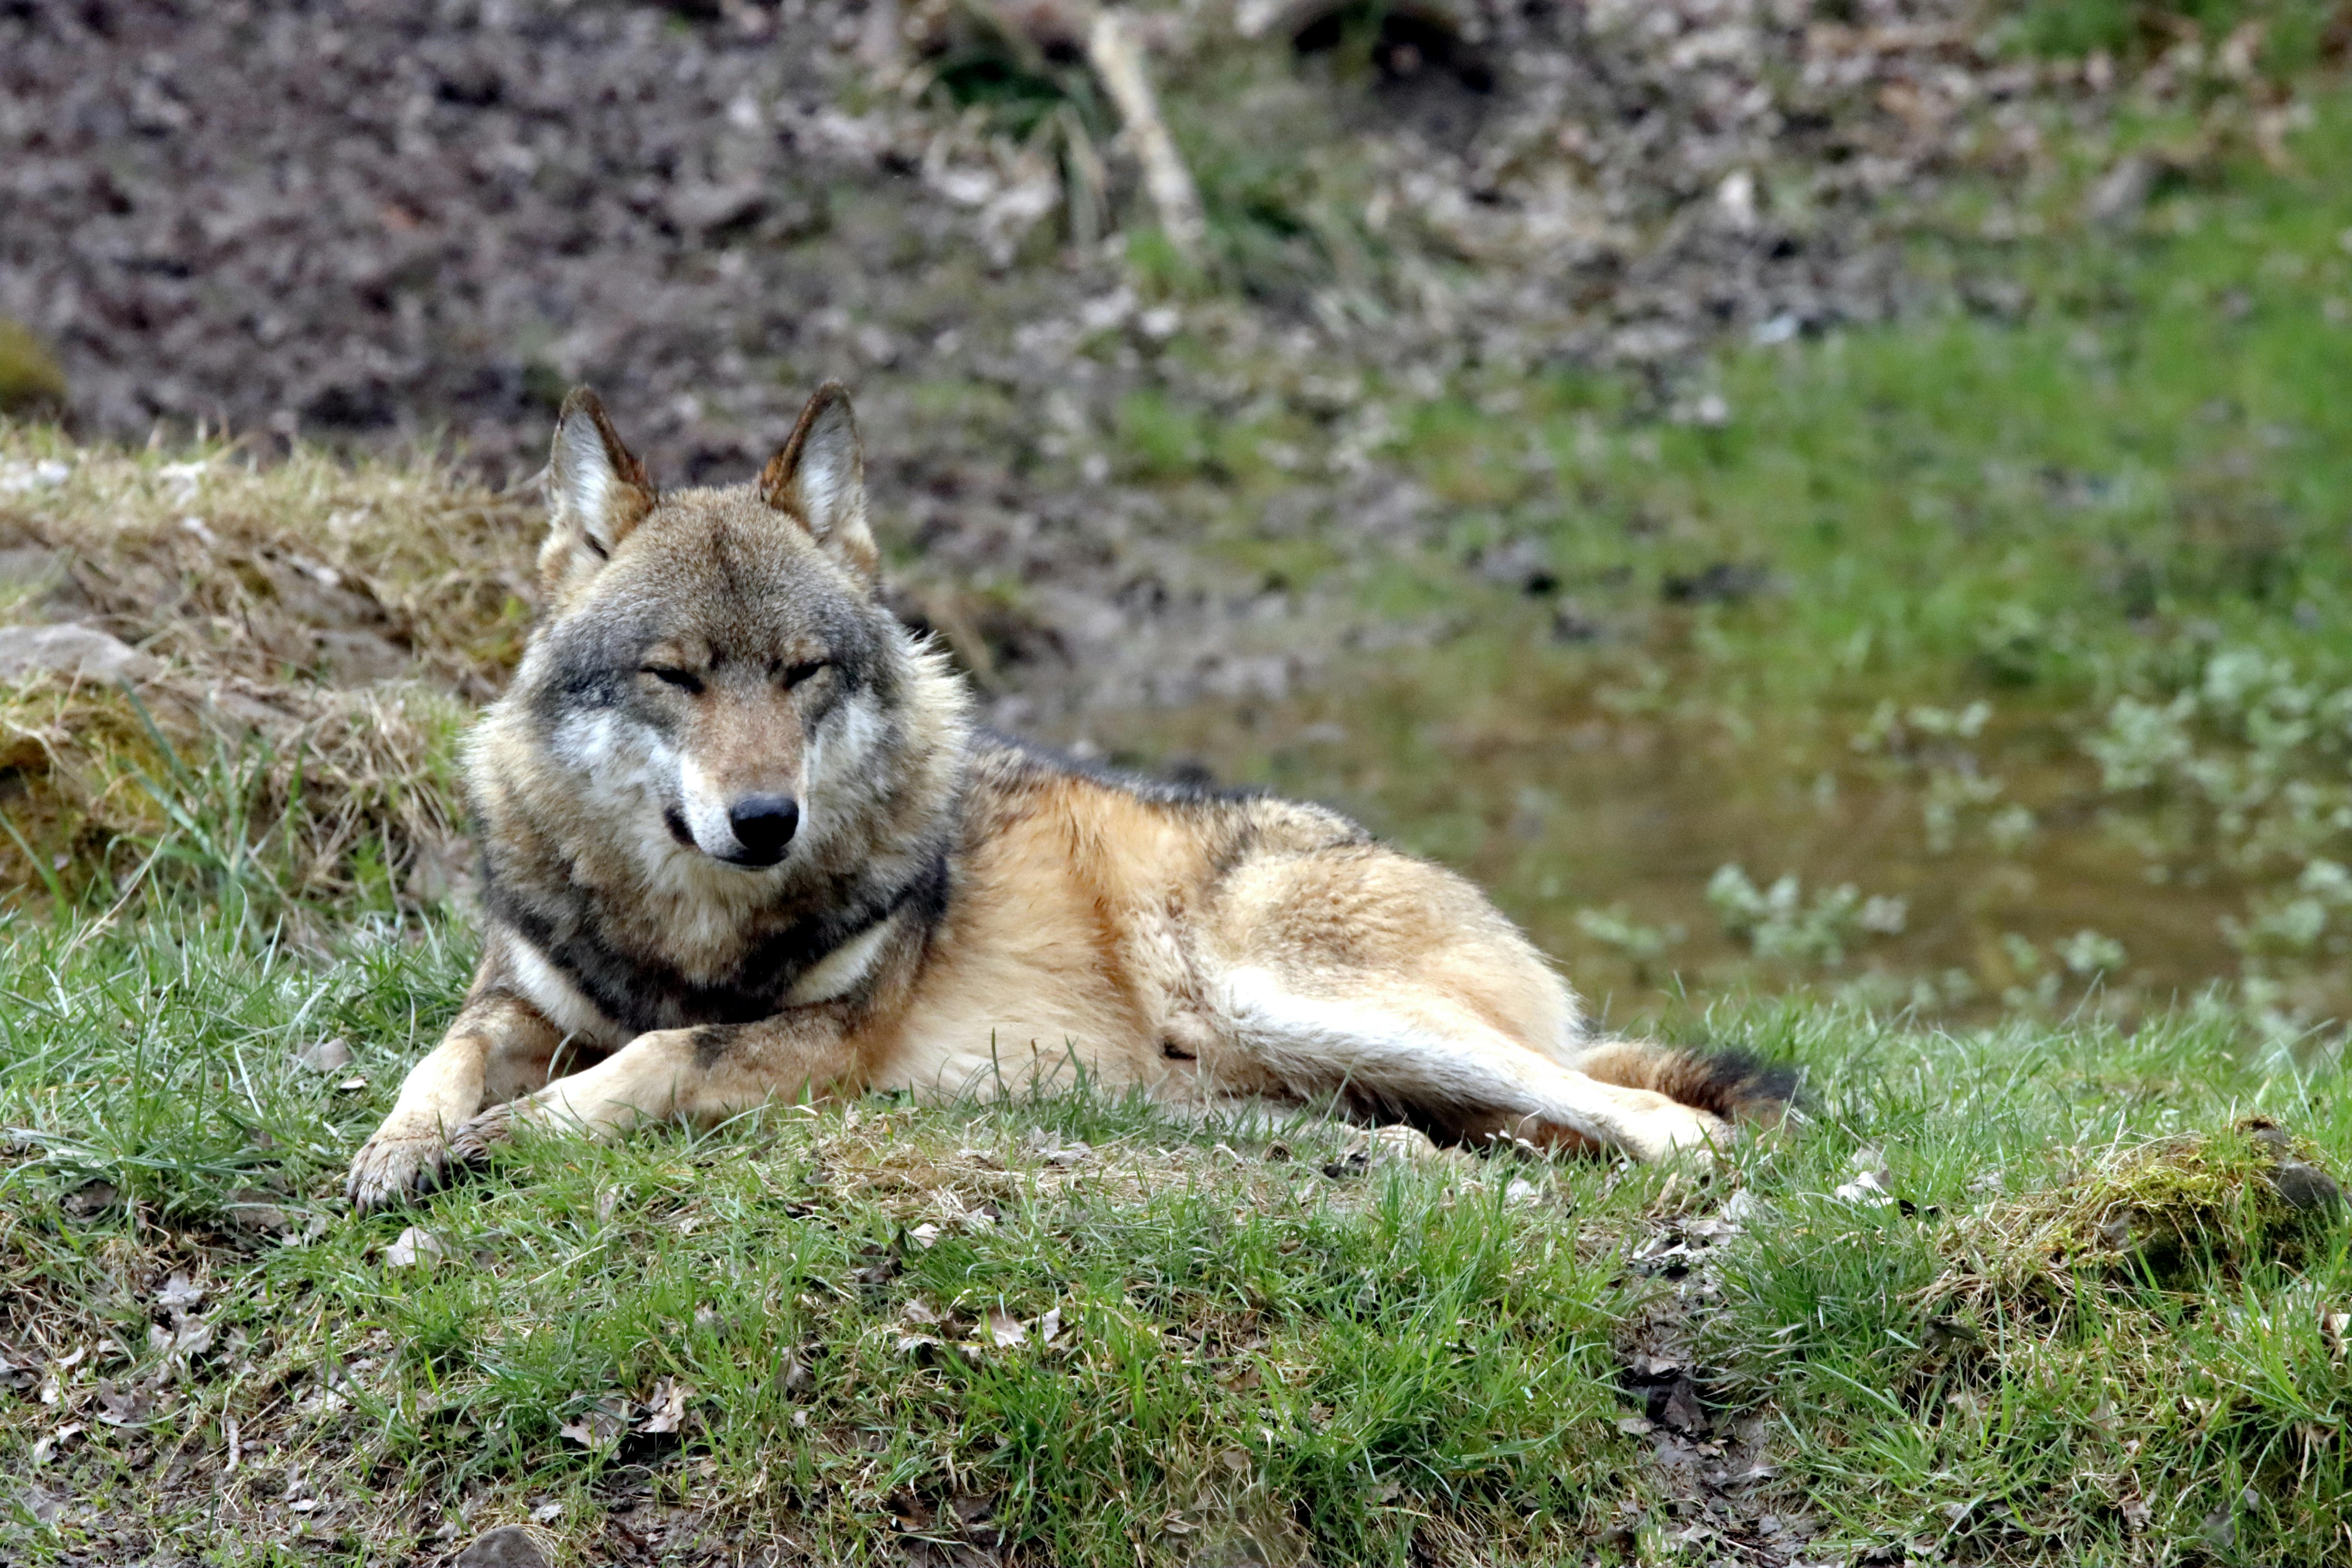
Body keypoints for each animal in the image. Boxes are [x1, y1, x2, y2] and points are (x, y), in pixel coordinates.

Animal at [346, 384, 1792, 1210]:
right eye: (677, 676)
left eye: (803, 672)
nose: (764, 821)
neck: (691, 931)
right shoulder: (516, 1001)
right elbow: (437, 1063)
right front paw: (397, 1148)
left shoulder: (823, 1041)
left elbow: (645, 1061)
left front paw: (497, 1143)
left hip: (1287, 997)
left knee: (1656, 1116)